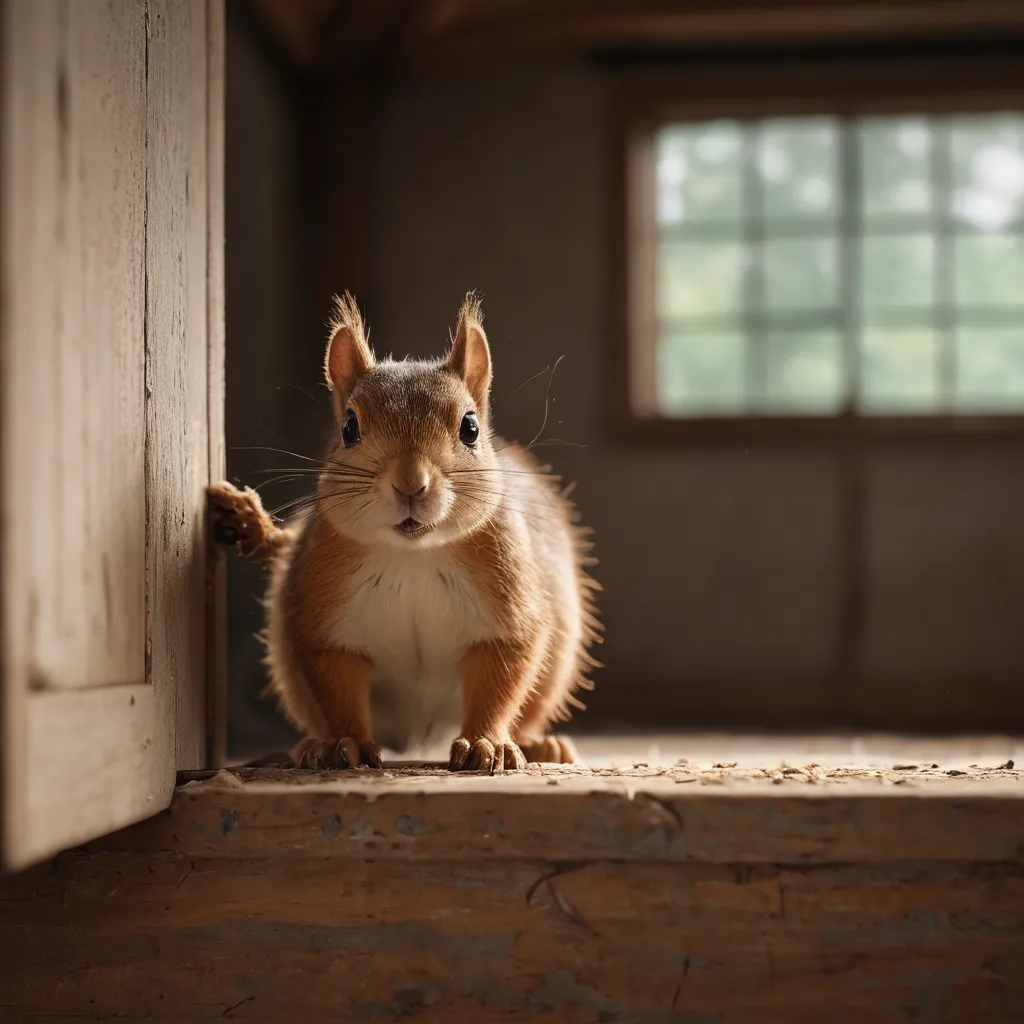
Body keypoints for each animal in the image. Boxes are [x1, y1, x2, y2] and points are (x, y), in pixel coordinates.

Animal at [209, 292, 601, 773]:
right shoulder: (324, 621)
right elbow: (336, 686)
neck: (413, 555)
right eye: (349, 428)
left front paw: (485, 743)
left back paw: (541, 744)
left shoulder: (509, 604)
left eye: (471, 428)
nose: (411, 483)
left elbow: (501, 677)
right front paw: (342, 743)